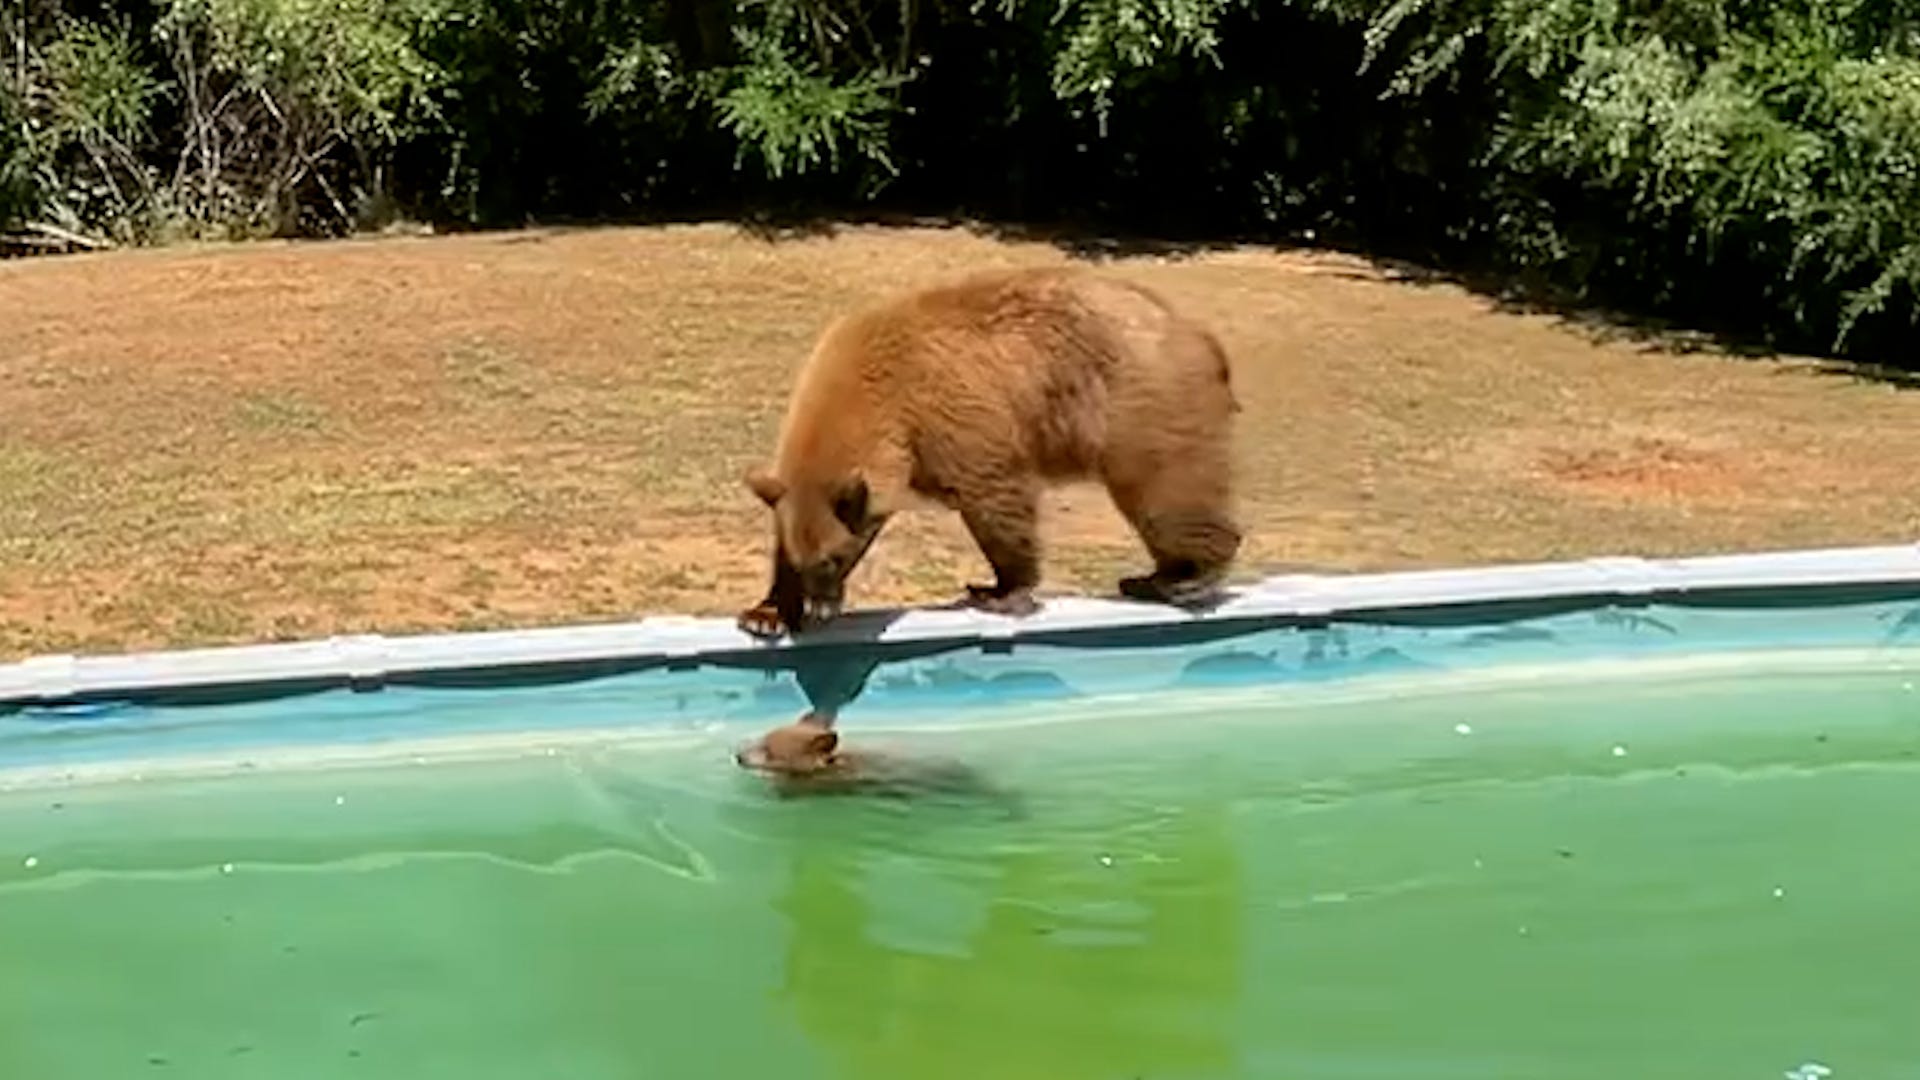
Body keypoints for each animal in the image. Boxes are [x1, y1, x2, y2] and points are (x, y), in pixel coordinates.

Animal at [738, 265, 1241, 638]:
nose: (819, 613)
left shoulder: (957, 418)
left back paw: (1189, 579)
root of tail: (1201, 334)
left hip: (1138, 405)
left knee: (1167, 492)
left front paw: (999, 590)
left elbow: (997, 501)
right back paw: (1155, 577)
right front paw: (766, 613)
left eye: (834, 558)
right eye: (806, 561)